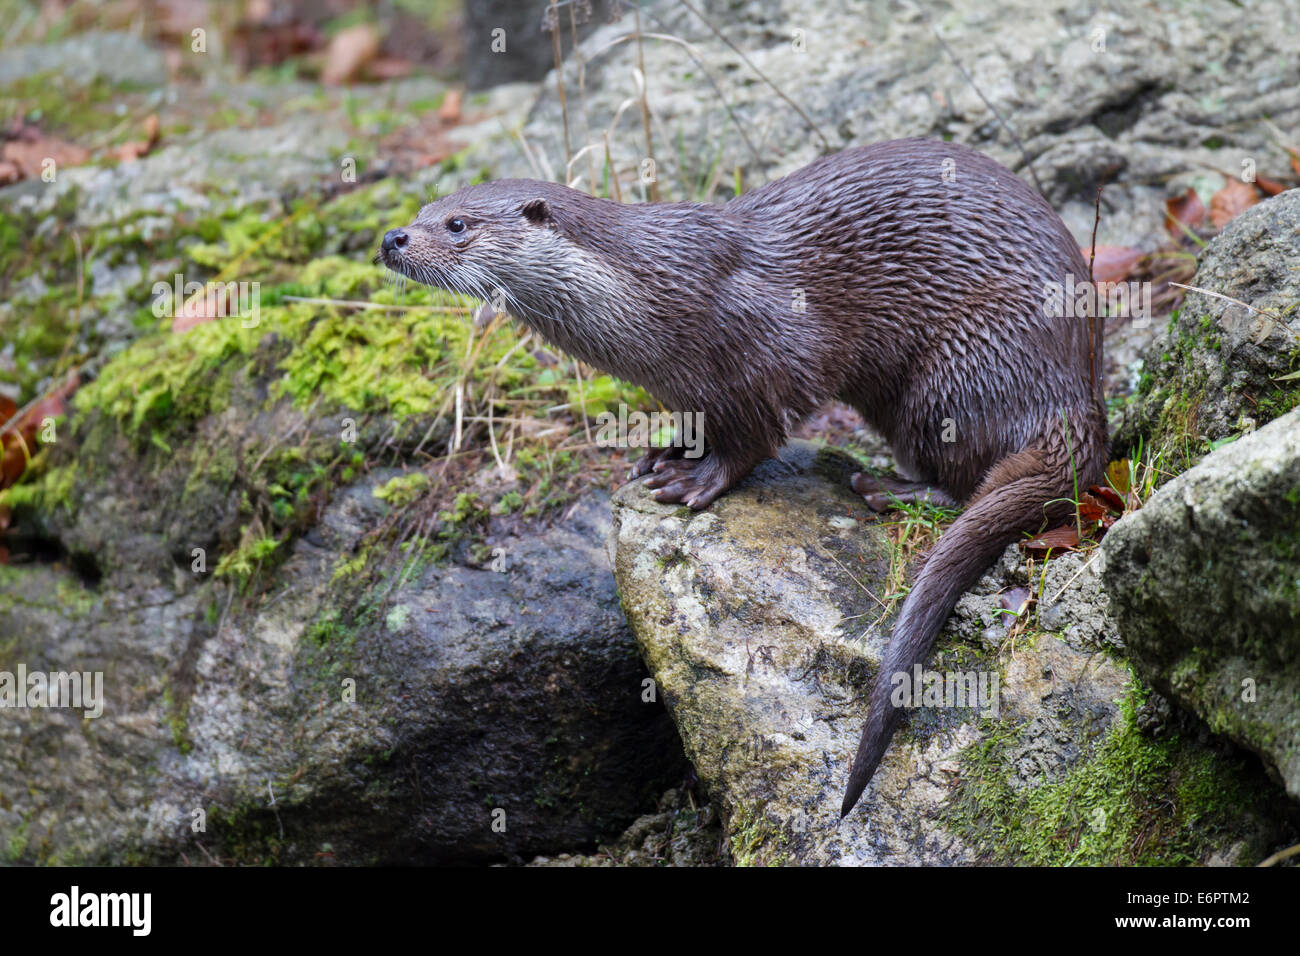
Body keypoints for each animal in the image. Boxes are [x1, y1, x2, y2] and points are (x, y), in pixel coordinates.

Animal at [378, 138, 1107, 818]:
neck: (648, 293)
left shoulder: (771, 344)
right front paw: (664, 454)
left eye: (457, 224)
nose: (393, 238)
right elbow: (705, 422)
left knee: (965, 477)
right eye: (421, 210)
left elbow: (759, 429)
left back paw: (890, 488)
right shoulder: (691, 386)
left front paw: (695, 481)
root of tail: (1078, 394)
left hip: (959, 366)